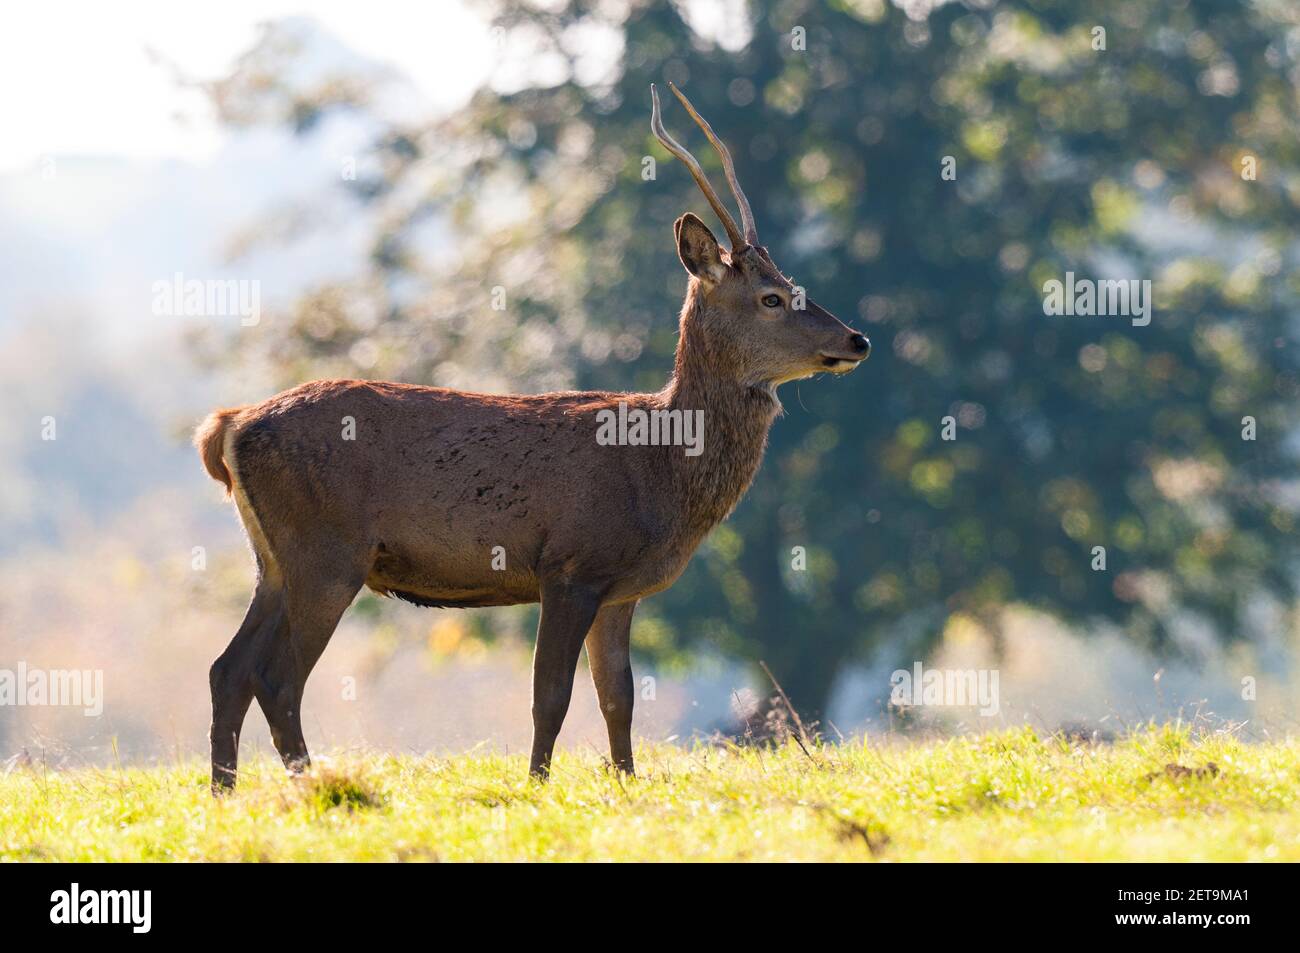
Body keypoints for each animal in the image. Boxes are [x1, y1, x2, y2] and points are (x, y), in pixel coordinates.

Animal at [194, 83, 870, 793]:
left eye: (794, 286)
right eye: (772, 298)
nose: (858, 340)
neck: (659, 470)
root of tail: (229, 426)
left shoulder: (619, 589)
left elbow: (618, 698)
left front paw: (625, 782)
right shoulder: (570, 564)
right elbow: (552, 694)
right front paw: (538, 784)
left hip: (274, 559)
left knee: (227, 668)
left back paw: (224, 791)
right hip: (326, 550)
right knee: (276, 676)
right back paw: (308, 782)